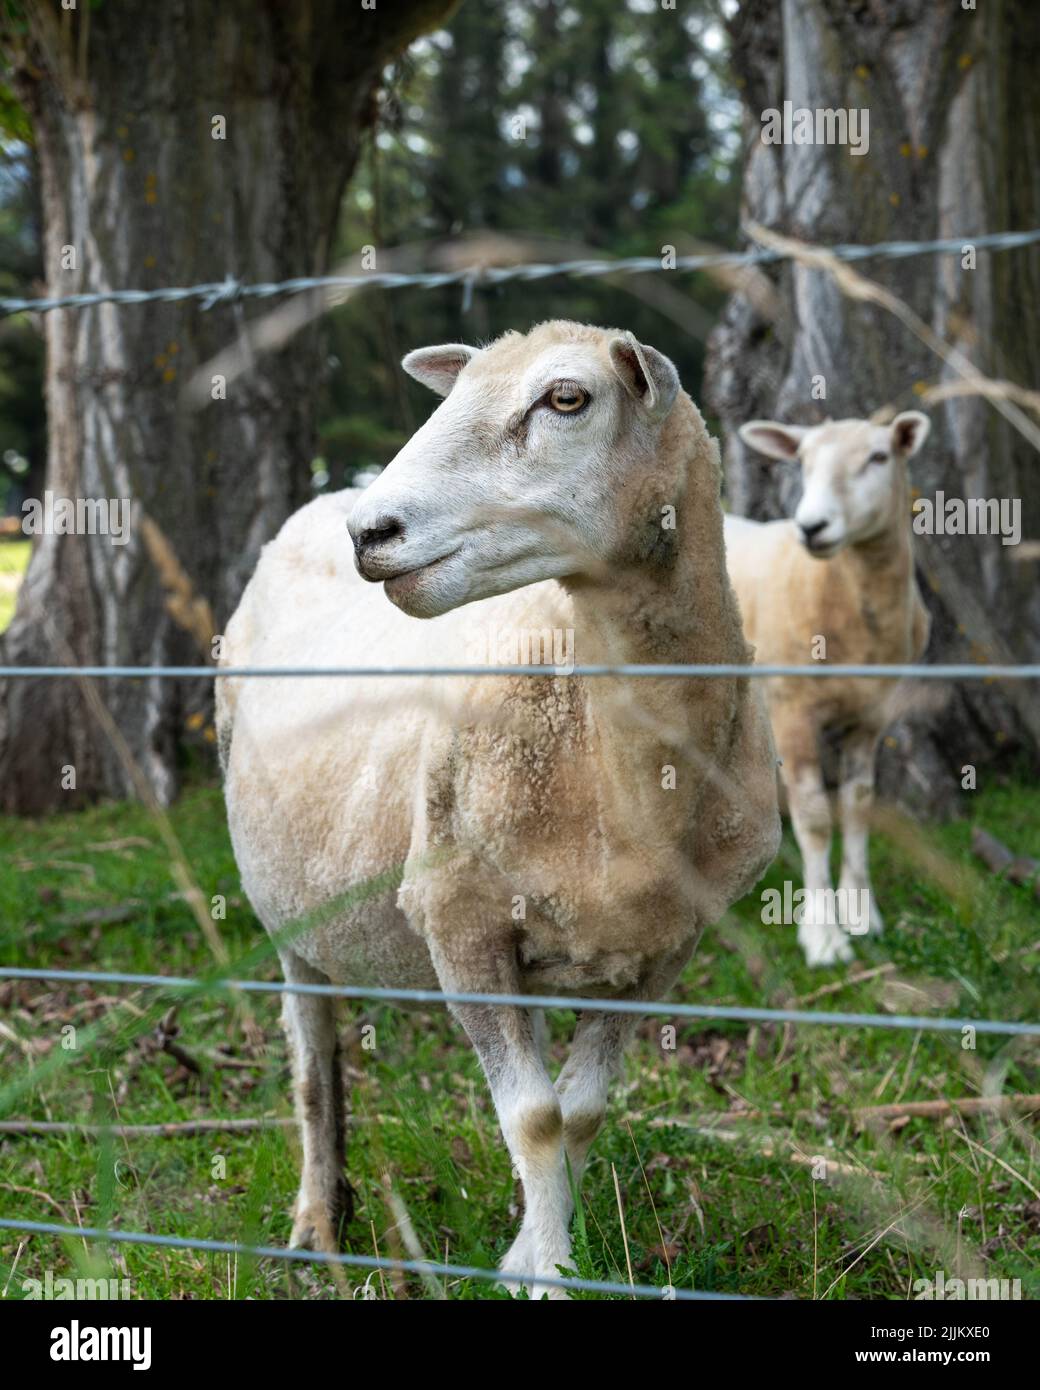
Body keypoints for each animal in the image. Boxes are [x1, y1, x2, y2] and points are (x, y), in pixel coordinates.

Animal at [217, 320, 781, 1297]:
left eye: (567, 398)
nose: (370, 532)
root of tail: (319, 498)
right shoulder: (458, 920)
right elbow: (534, 1118)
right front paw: (547, 1268)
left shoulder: (666, 945)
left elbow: (580, 1112)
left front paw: (544, 1247)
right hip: (291, 910)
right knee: (313, 1059)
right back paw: (318, 1221)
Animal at [725, 413, 932, 968]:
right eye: (803, 461)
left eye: (879, 457)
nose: (811, 526)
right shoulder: (791, 710)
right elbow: (816, 818)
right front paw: (823, 936)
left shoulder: (871, 716)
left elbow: (858, 806)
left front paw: (862, 915)